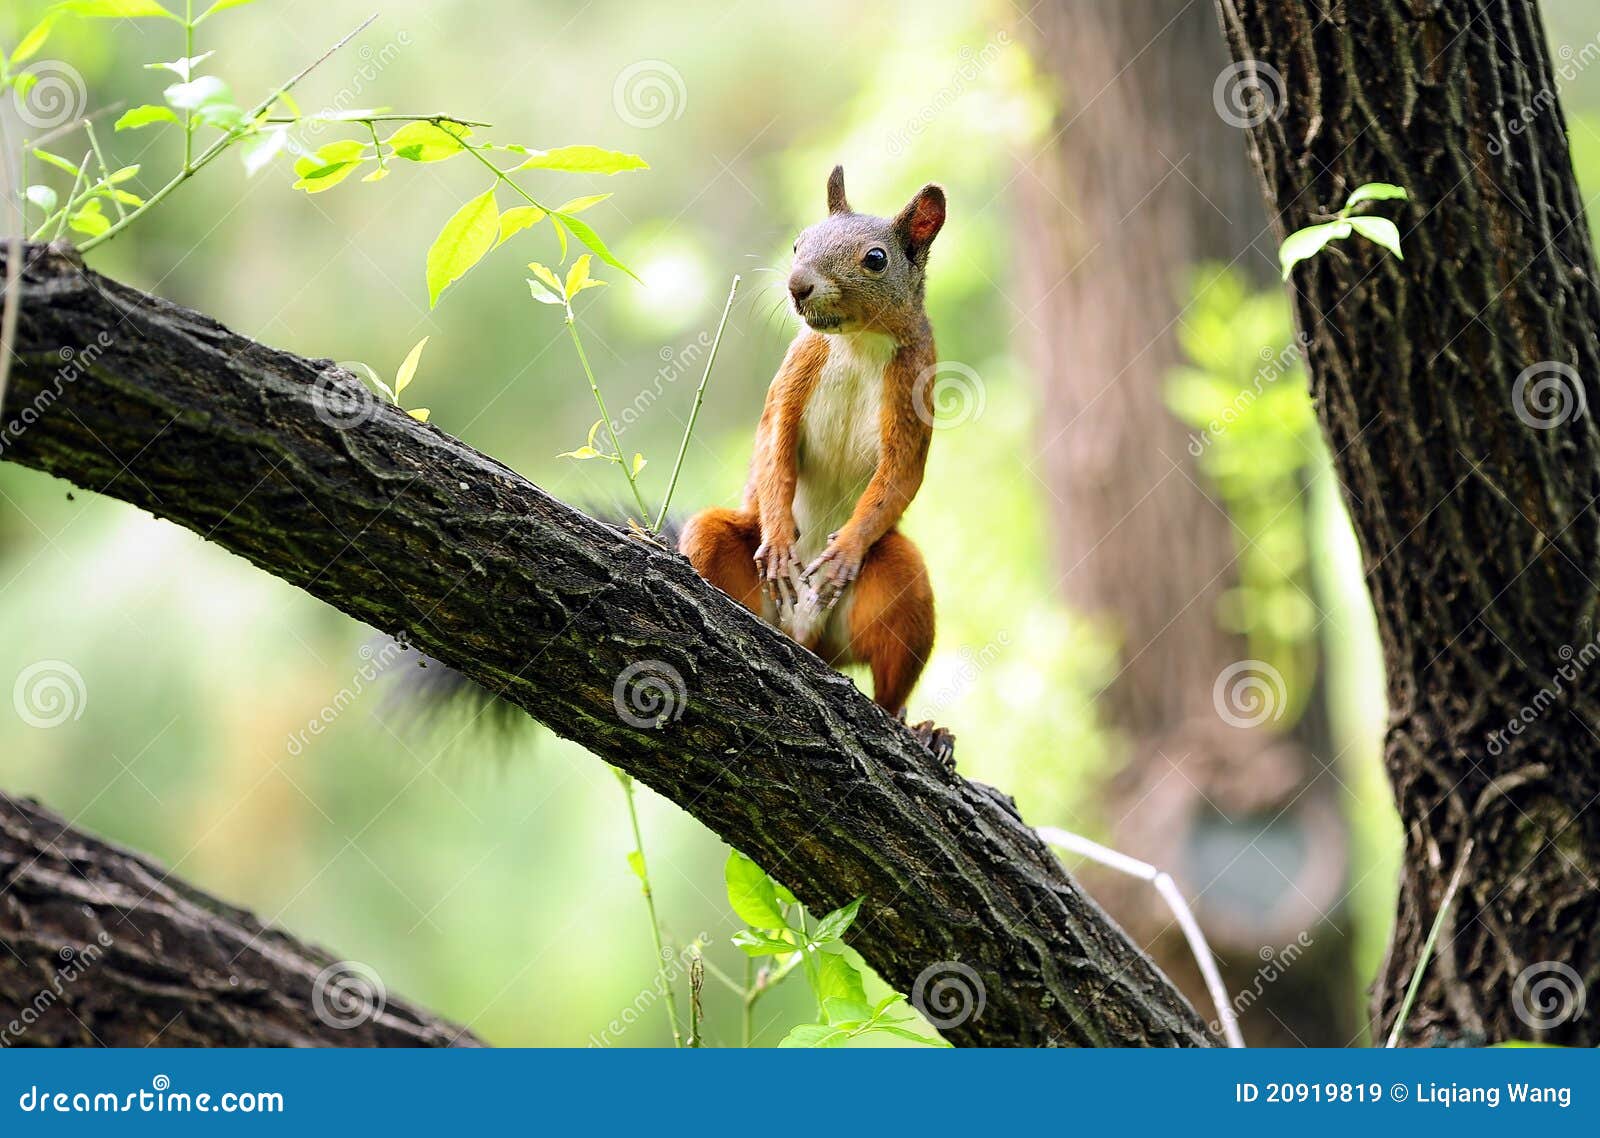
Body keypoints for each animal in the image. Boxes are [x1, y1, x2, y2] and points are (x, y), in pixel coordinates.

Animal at [679, 166, 953, 763]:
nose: (797, 284)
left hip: (898, 587)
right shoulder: (795, 371)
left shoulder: (917, 386)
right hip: (735, 566)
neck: (856, 342)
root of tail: (804, 637)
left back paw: (922, 731)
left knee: (891, 681)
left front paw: (844, 551)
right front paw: (783, 542)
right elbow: (774, 447)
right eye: (799, 242)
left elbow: (902, 476)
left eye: (876, 259)